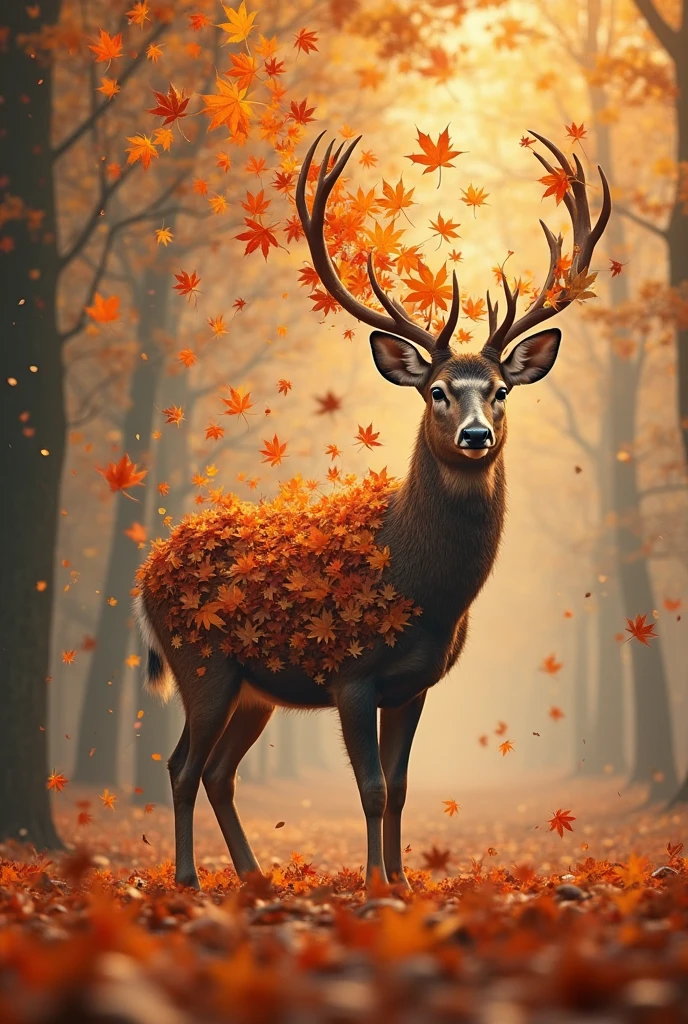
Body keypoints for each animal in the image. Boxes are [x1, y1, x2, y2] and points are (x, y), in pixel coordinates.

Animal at [135, 129, 610, 891]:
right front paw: (370, 885)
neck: (421, 587)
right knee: (182, 766)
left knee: (218, 771)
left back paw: (252, 876)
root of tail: (148, 571)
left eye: (501, 389)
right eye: (437, 391)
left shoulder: (414, 685)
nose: (476, 435)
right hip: (201, 660)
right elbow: (371, 787)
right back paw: (188, 880)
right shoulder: (350, 674)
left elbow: (404, 785)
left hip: (254, 688)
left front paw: (404, 881)